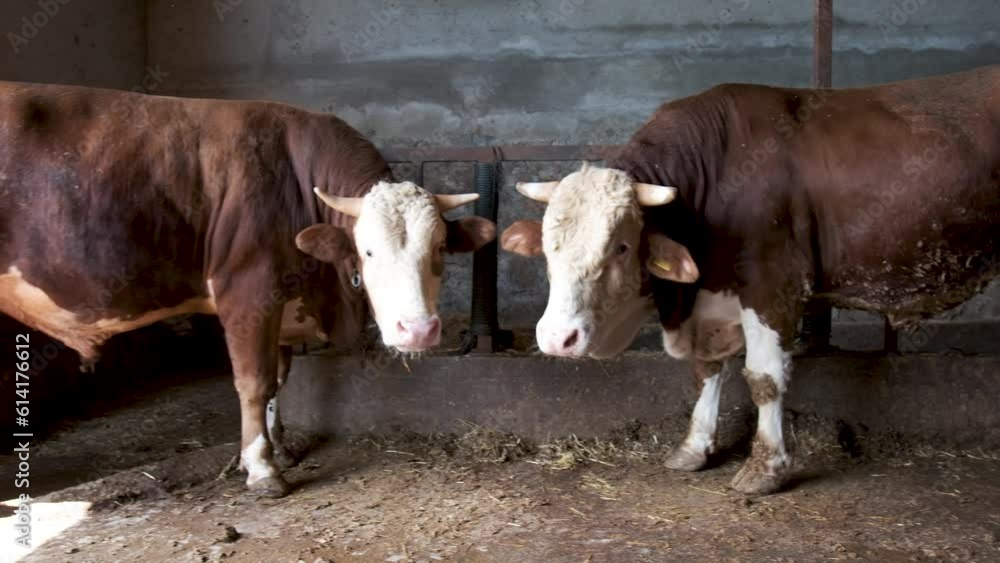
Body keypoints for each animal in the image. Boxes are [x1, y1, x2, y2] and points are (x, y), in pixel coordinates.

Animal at [0, 81, 496, 497]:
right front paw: (261, 468)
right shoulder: (249, 291)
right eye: (368, 251)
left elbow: (278, 379)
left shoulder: (283, 301)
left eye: (440, 248)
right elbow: (254, 381)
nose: (418, 330)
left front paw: (279, 447)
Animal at [502, 65, 1000, 494]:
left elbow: (763, 378)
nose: (556, 338)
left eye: (621, 246)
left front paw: (765, 469)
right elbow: (705, 371)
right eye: (547, 248)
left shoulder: (772, 286)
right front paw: (693, 448)